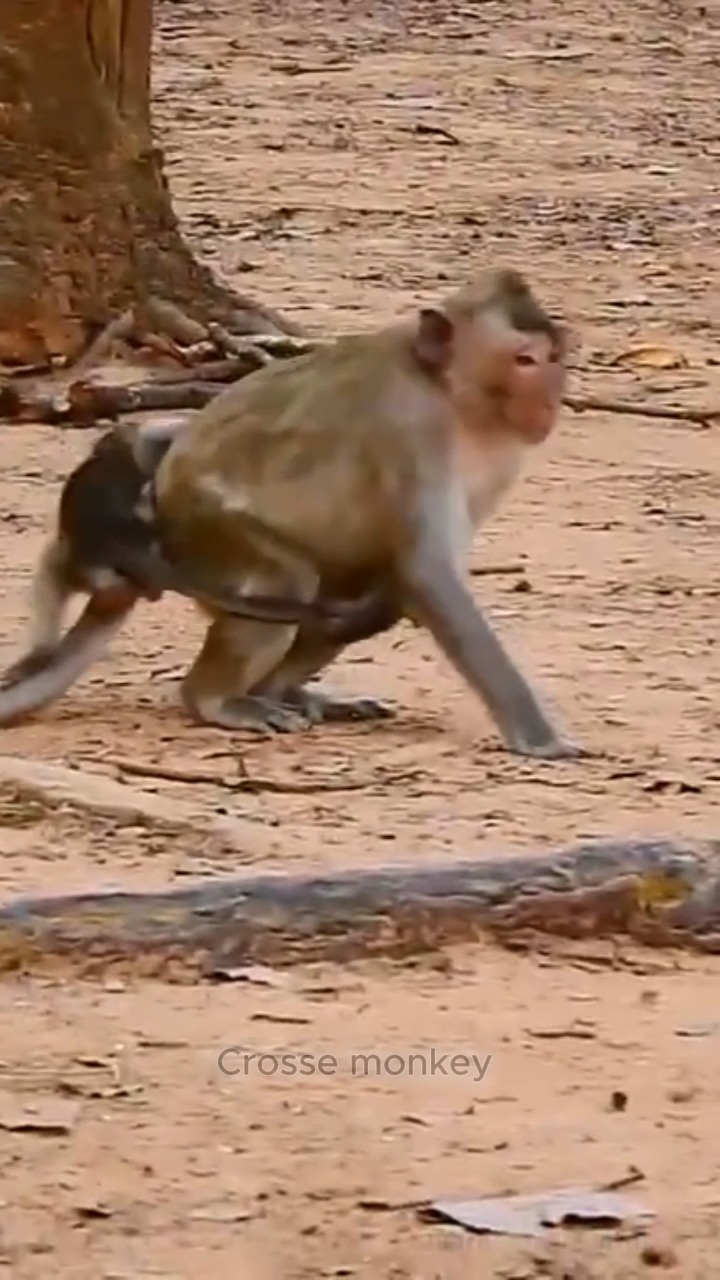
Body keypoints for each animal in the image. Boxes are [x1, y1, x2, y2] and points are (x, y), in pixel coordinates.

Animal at [0, 269, 583, 755]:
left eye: (554, 355)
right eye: (524, 360)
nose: (551, 395)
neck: (454, 395)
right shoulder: (413, 428)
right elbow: (428, 574)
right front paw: (540, 738)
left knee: (361, 595)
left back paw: (285, 693)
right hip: (206, 540)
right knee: (286, 580)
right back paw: (214, 699)